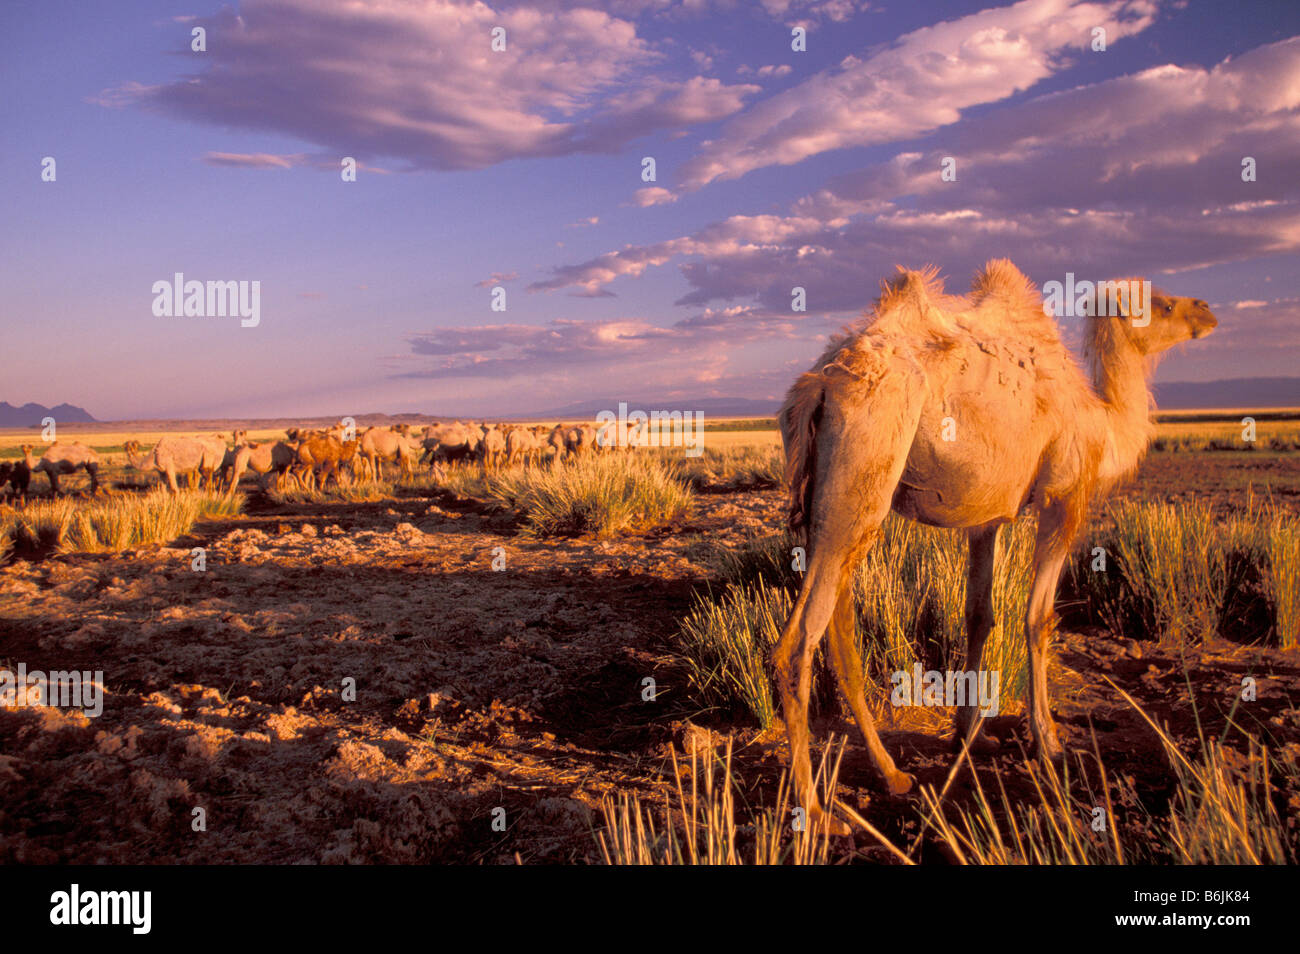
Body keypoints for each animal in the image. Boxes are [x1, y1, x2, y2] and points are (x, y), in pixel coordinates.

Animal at [774, 260, 1217, 832]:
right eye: (1162, 305)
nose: (1205, 310)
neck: (1101, 422)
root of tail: (820, 381)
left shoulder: (987, 517)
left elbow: (978, 615)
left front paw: (968, 733)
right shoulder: (1063, 498)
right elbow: (1038, 617)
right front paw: (1048, 741)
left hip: (834, 492)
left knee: (838, 627)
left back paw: (892, 774)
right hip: (866, 459)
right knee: (799, 640)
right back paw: (814, 810)